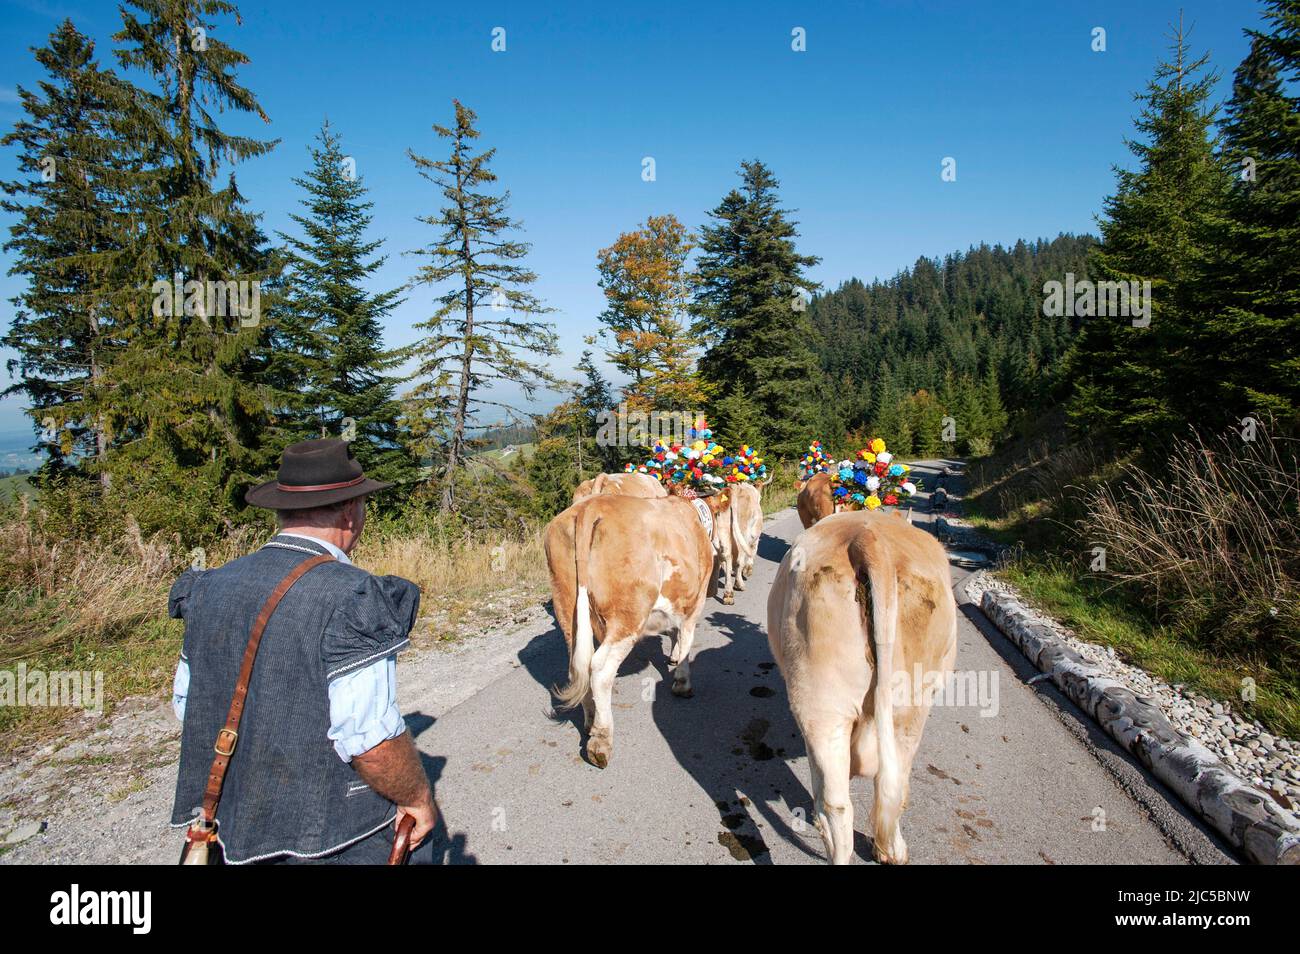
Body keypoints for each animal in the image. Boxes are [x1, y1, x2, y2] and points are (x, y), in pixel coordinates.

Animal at [544, 490, 731, 768]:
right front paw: (682, 682)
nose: (724, 548)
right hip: (628, 615)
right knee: (600, 669)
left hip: (567, 607)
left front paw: (673, 656)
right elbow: (686, 637)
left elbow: (674, 632)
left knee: (579, 665)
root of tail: (592, 506)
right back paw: (601, 741)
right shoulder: (694, 602)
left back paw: (590, 722)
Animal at [766, 509, 957, 864]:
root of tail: (867, 537)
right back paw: (890, 849)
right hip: (893, 706)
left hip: (833, 705)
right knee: (877, 790)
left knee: (849, 800)